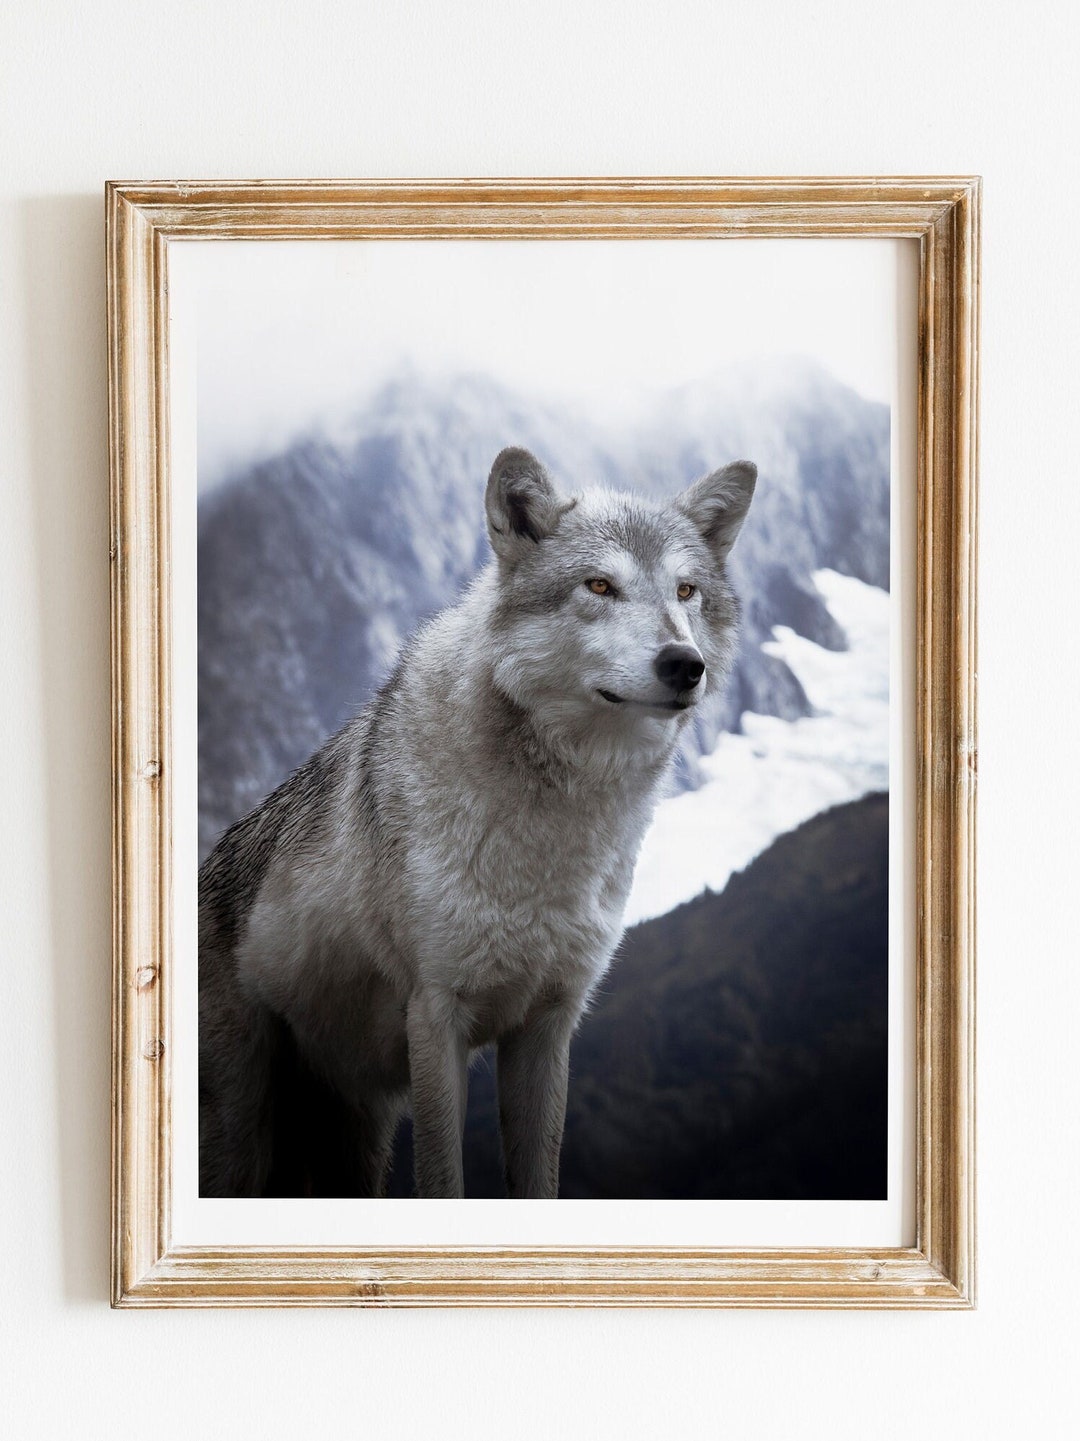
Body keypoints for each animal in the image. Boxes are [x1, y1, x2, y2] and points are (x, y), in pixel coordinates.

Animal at [198, 446, 756, 1199]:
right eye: (600, 585)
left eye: (687, 591)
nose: (683, 664)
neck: (550, 833)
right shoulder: (438, 1017)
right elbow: (443, 1180)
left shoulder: (547, 1026)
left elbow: (539, 1179)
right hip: (245, 1139)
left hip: (354, 1139)